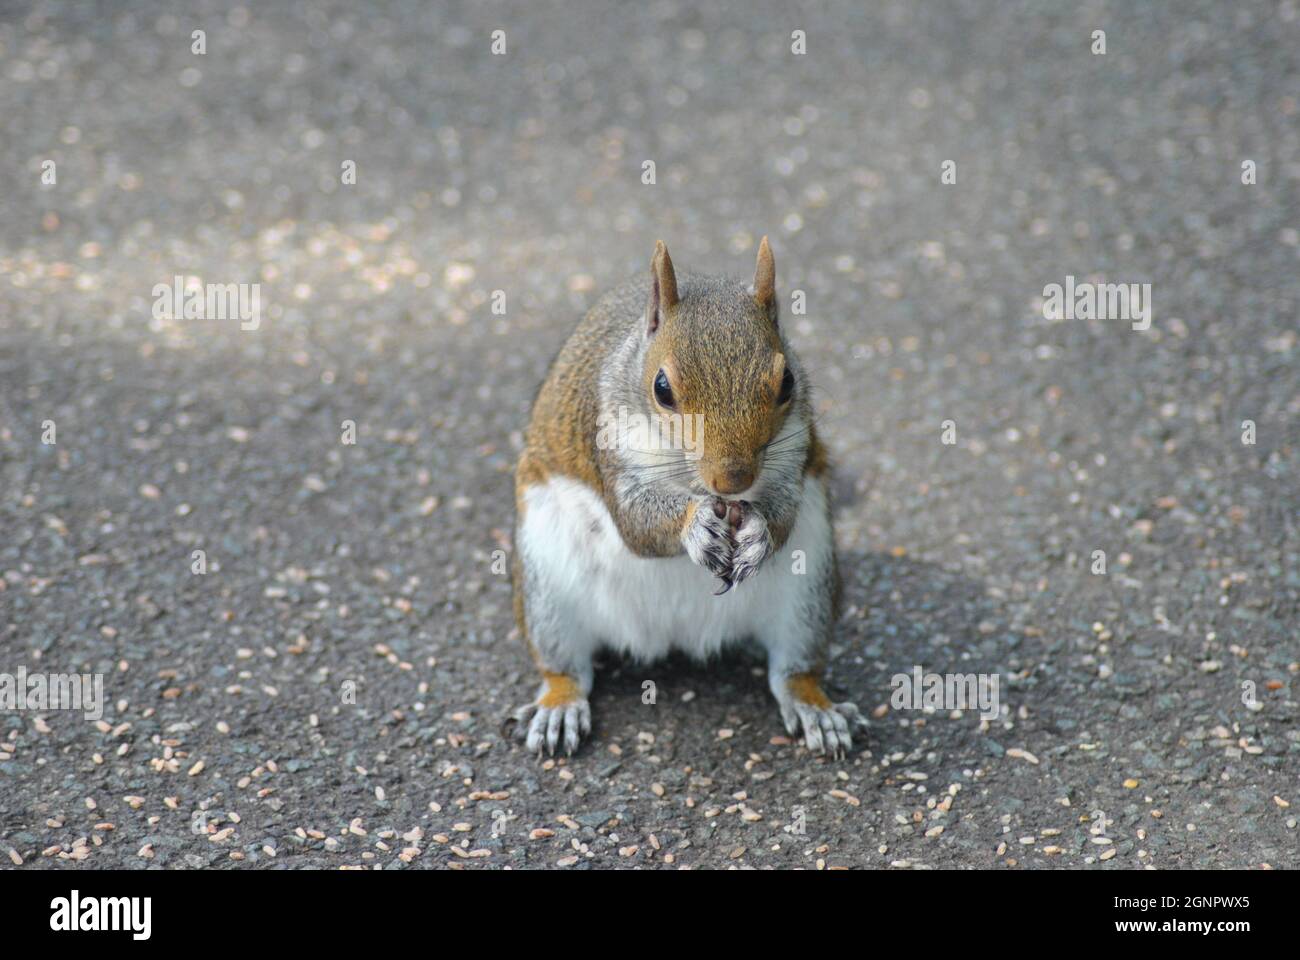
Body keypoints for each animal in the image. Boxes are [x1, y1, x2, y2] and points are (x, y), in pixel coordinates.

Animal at [510, 237, 867, 757]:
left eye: (787, 383)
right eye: (662, 388)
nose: (732, 480)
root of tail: (672, 637)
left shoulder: (794, 455)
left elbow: (783, 513)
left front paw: (759, 532)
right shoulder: (609, 445)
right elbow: (636, 524)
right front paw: (694, 525)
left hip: (809, 595)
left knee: (794, 670)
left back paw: (814, 707)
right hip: (547, 589)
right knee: (564, 668)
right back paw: (559, 706)